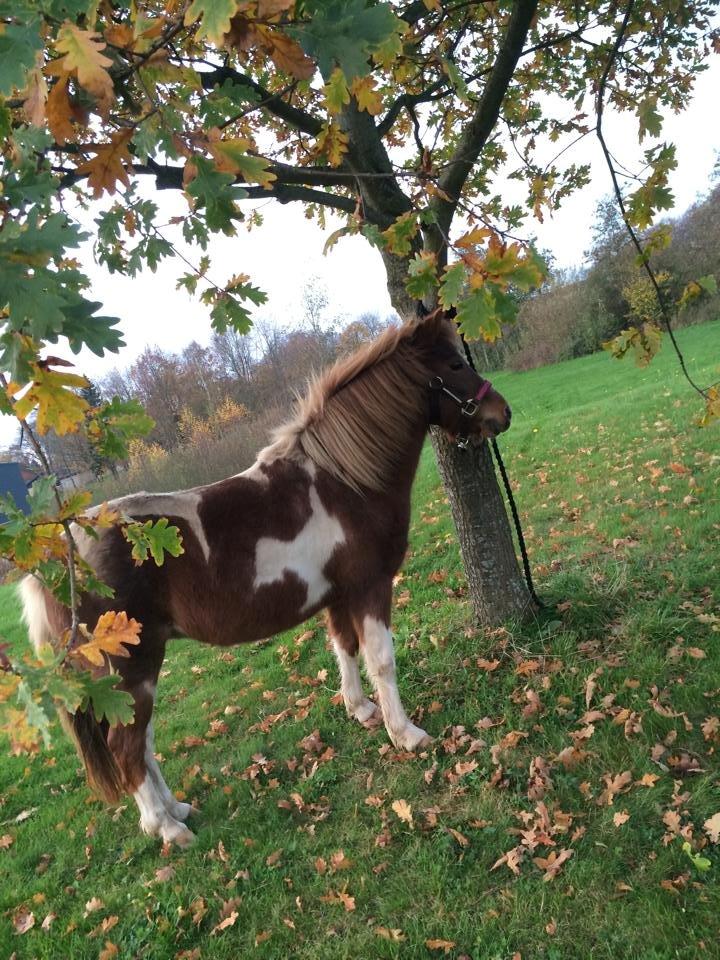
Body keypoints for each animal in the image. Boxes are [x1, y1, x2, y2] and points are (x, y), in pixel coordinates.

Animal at [20, 309, 511, 846]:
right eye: (454, 364)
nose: (502, 414)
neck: (341, 481)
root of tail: (63, 552)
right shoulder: (370, 586)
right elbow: (381, 660)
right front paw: (405, 734)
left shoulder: (337, 595)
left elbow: (344, 647)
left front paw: (360, 710)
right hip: (133, 668)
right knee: (128, 746)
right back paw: (170, 830)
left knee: (141, 741)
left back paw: (172, 810)